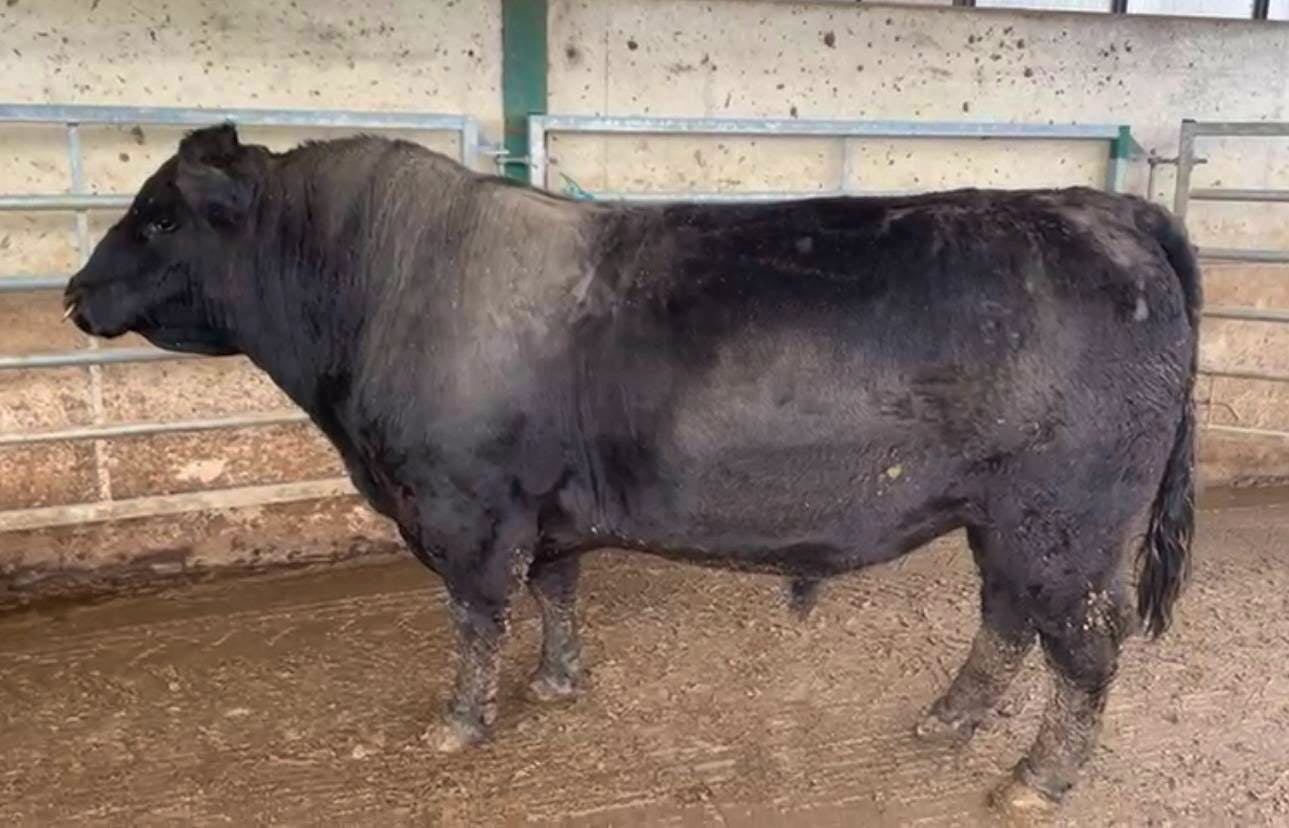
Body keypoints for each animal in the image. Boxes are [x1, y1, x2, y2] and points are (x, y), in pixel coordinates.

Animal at [63, 123, 1199, 821]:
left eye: (159, 215)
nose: (73, 292)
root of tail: (1104, 210)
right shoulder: (542, 509)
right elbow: (555, 590)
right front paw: (560, 681)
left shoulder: (463, 509)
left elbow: (476, 618)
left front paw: (458, 724)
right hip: (1006, 518)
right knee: (1005, 622)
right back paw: (944, 723)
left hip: (1063, 521)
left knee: (1082, 649)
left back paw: (1036, 779)